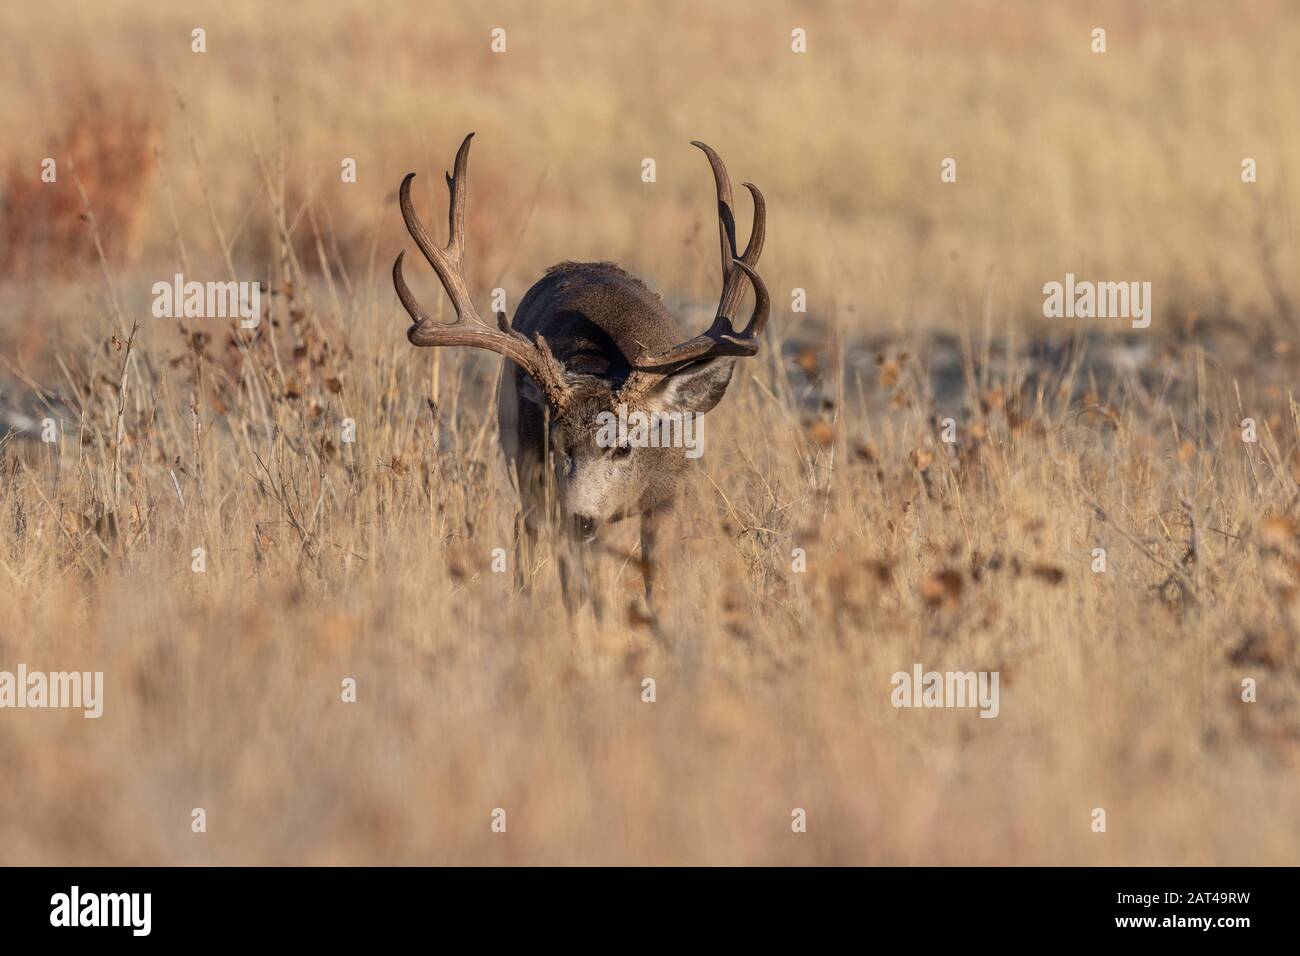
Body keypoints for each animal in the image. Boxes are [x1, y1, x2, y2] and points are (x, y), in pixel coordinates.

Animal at [393, 134, 767, 616]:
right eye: (557, 443)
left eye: (624, 446)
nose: (581, 518)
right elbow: (582, 591)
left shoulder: (666, 497)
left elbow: (657, 586)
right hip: (528, 480)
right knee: (526, 539)